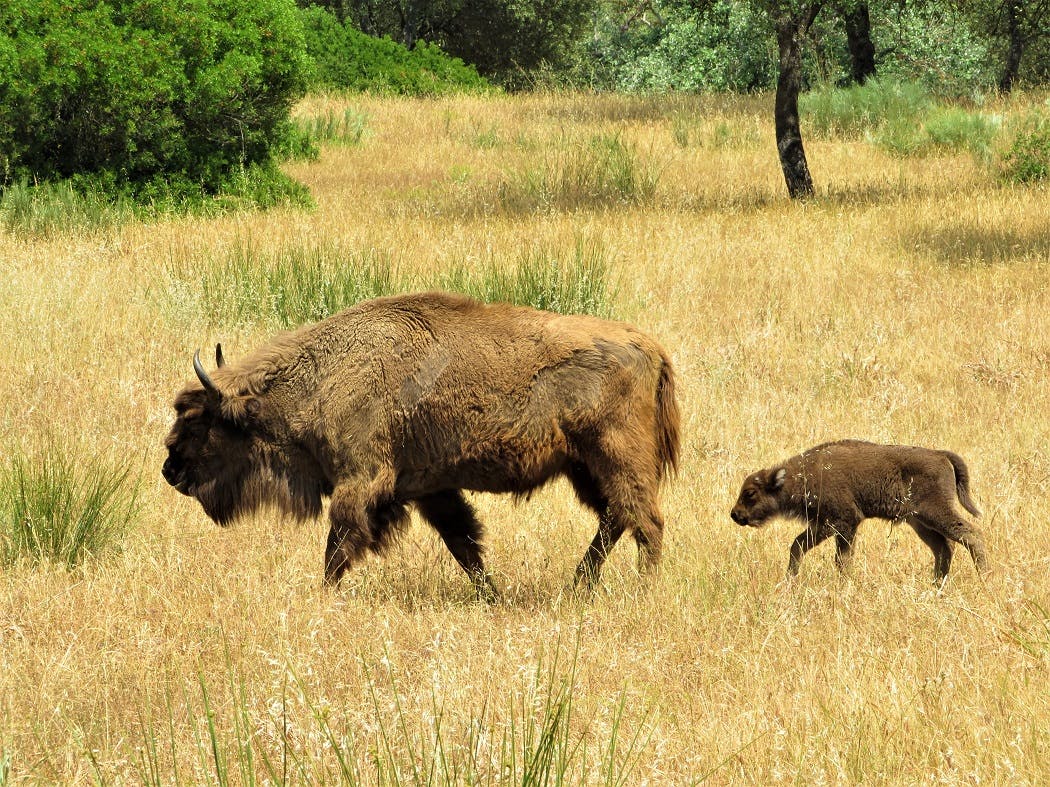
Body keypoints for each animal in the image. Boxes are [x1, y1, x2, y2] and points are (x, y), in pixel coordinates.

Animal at [163, 291, 680, 598]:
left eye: (199, 421)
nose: (170, 470)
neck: (328, 375)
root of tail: (652, 348)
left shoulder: (360, 481)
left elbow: (338, 546)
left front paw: (324, 595)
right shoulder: (432, 491)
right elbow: (464, 544)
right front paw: (491, 596)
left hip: (615, 456)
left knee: (645, 521)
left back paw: (642, 590)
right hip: (584, 467)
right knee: (615, 518)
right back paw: (578, 586)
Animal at [731, 439, 987, 582]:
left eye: (750, 493)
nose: (735, 514)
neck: (803, 476)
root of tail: (941, 455)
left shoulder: (843, 523)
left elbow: (841, 559)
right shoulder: (823, 525)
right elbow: (798, 546)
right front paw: (790, 579)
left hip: (935, 512)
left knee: (970, 534)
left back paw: (983, 577)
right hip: (920, 522)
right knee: (944, 548)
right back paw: (937, 583)